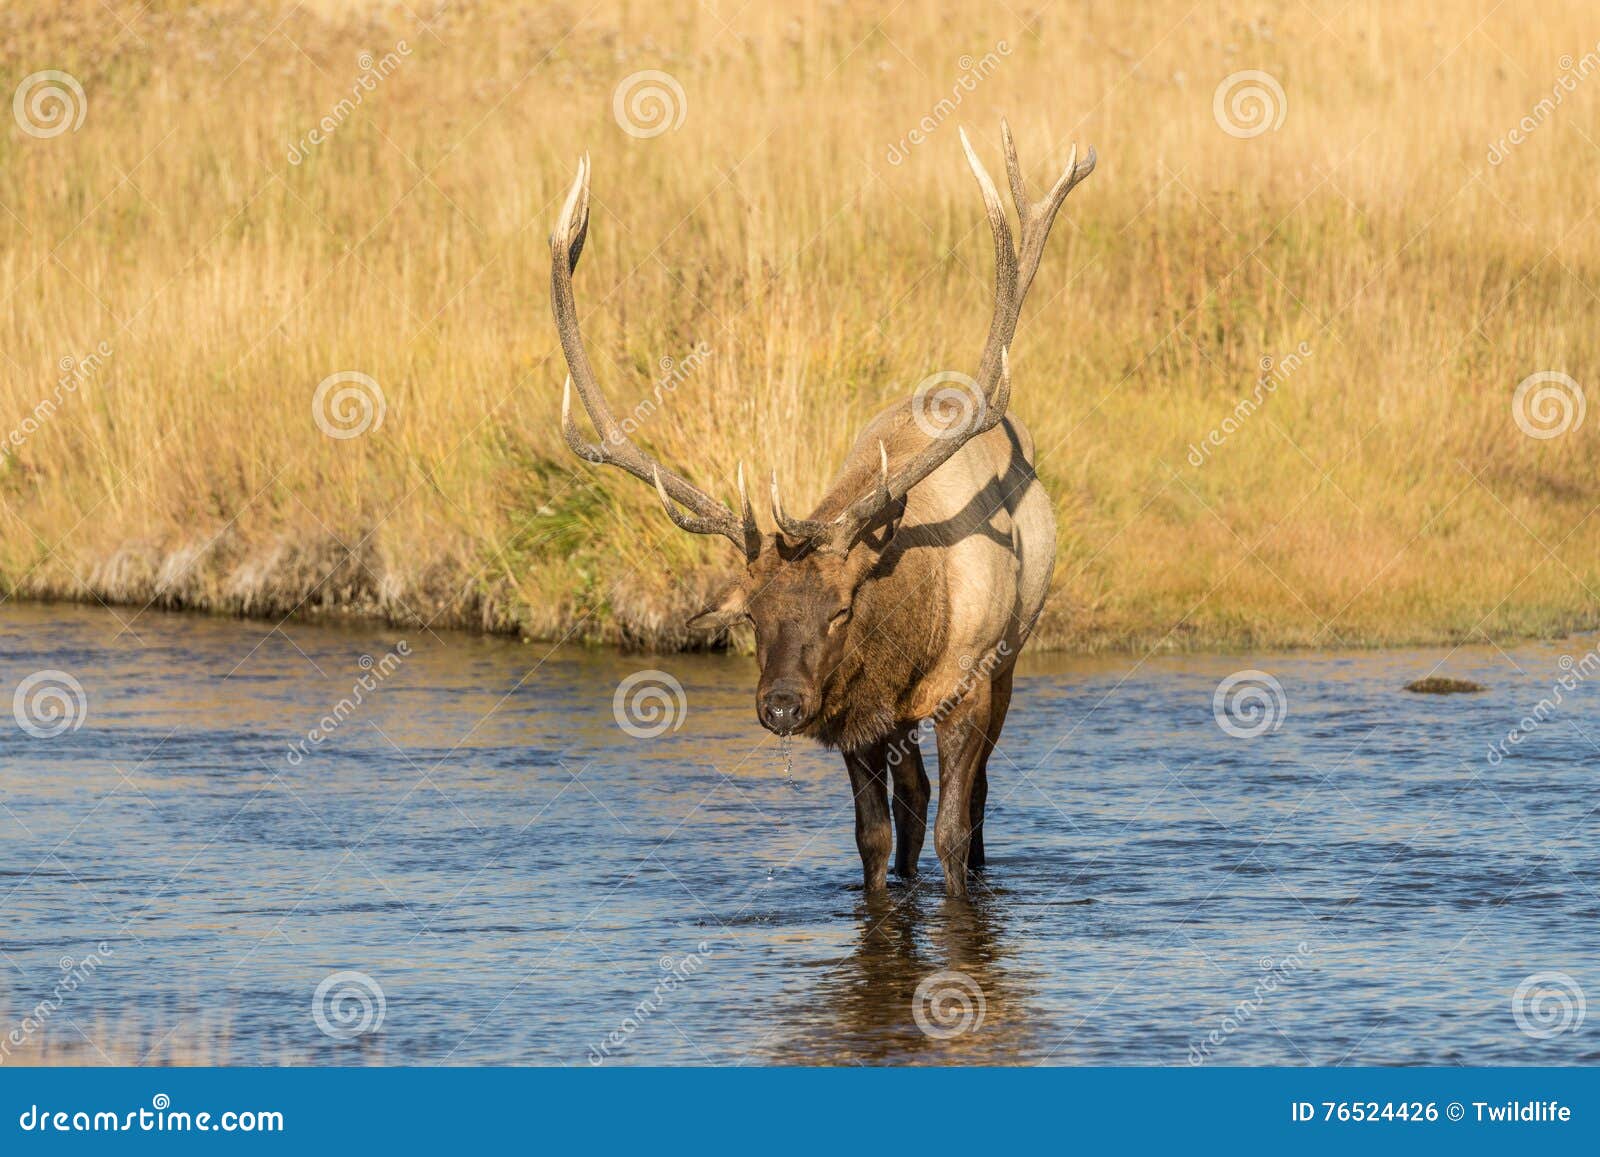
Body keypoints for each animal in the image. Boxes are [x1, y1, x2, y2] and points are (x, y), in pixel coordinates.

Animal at [549, 120, 1095, 897]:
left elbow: (956, 832)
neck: (915, 628)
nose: (780, 704)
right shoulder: (855, 715)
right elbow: (873, 839)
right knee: (913, 799)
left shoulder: (967, 680)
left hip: (1012, 652)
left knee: (979, 798)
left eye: (840, 608)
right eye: (751, 614)